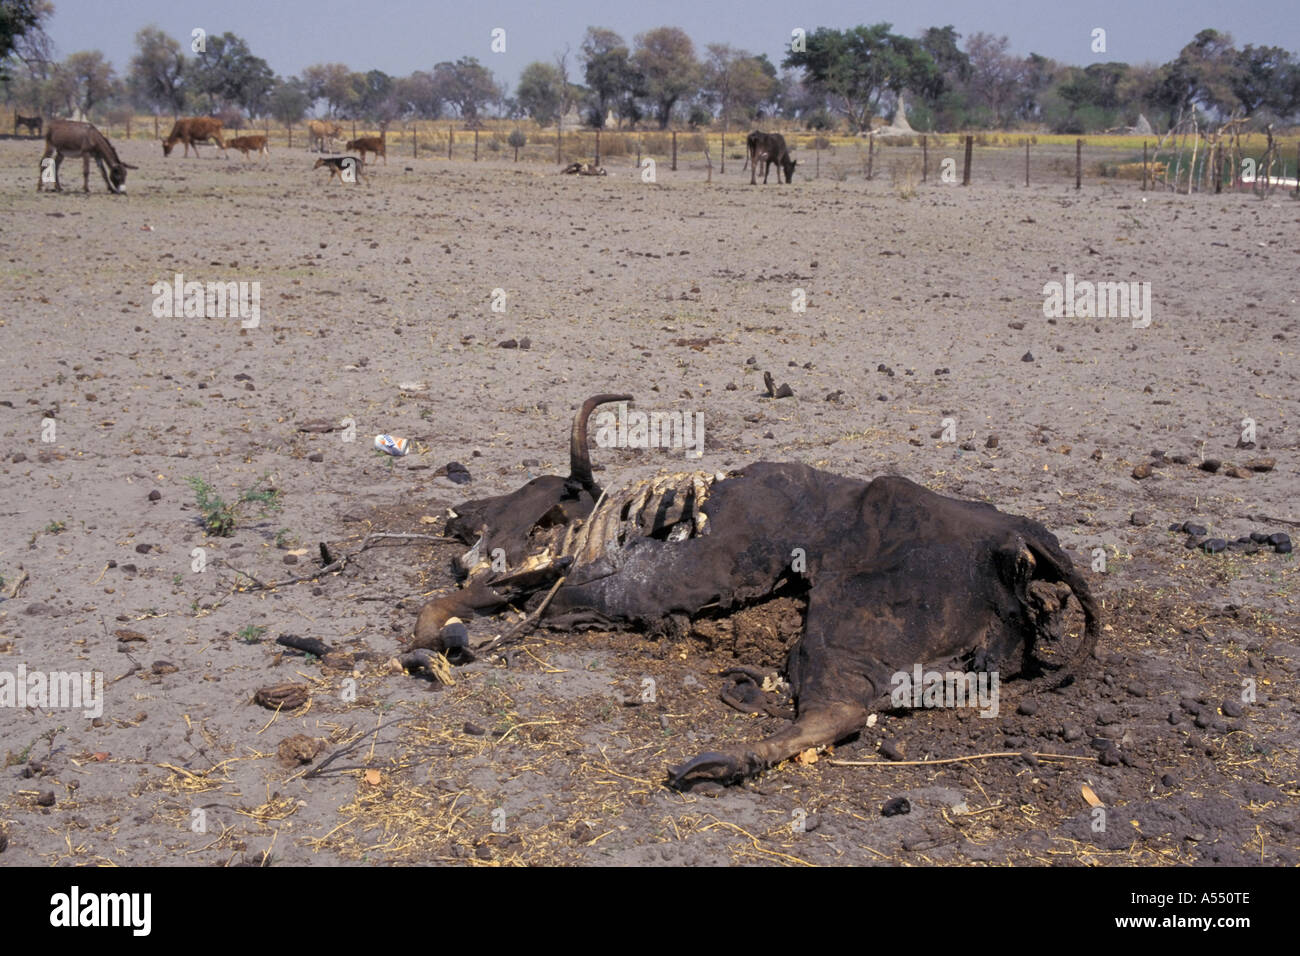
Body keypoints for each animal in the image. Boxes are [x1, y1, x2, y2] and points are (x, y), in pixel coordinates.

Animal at [412, 395, 1101, 789]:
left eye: (523, 494)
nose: (457, 515)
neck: (599, 522)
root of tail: (1018, 540)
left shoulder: (577, 588)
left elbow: (455, 604)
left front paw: (433, 648)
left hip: (842, 631)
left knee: (837, 711)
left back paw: (719, 762)